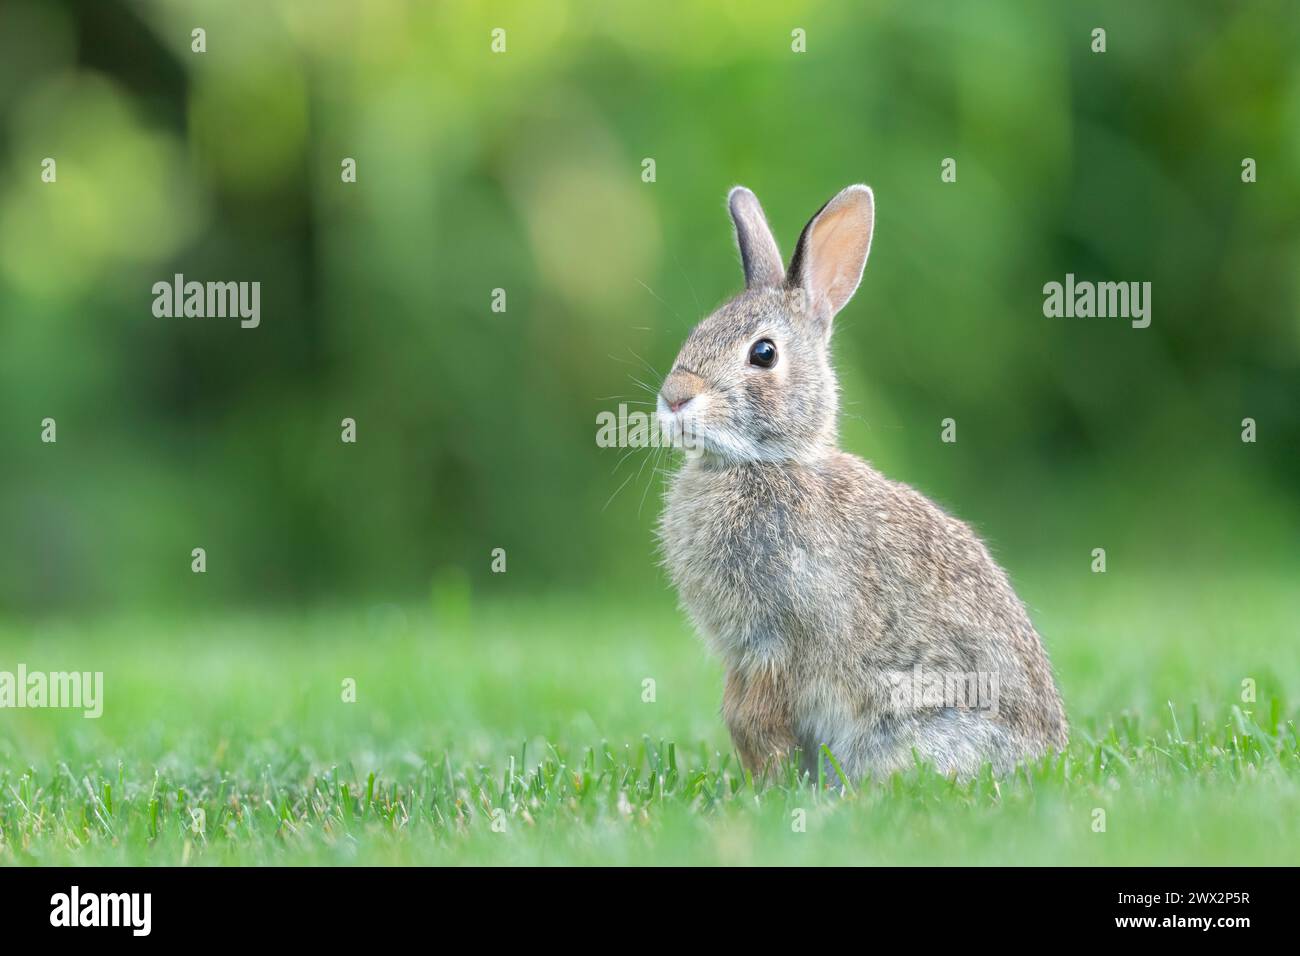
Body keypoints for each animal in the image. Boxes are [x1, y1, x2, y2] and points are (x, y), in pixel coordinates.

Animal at [656, 184, 1067, 782]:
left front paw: (770, 783)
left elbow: (754, 717)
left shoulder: (779, 640)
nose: (673, 397)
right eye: (696, 332)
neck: (765, 464)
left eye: (763, 353)